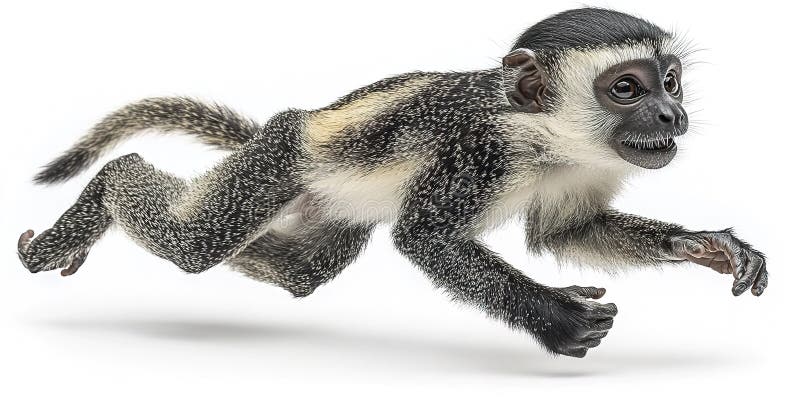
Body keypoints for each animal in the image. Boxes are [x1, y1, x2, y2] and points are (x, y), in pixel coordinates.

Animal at [17, 8, 767, 358]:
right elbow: (424, 235)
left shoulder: (586, 167)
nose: (672, 114)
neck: (545, 137)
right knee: (195, 239)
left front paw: (703, 245)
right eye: (627, 88)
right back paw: (104, 189)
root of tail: (290, 126)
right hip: (279, 158)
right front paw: (553, 318)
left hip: (316, 202)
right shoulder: (477, 152)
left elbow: (566, 231)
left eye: (671, 81)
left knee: (301, 270)